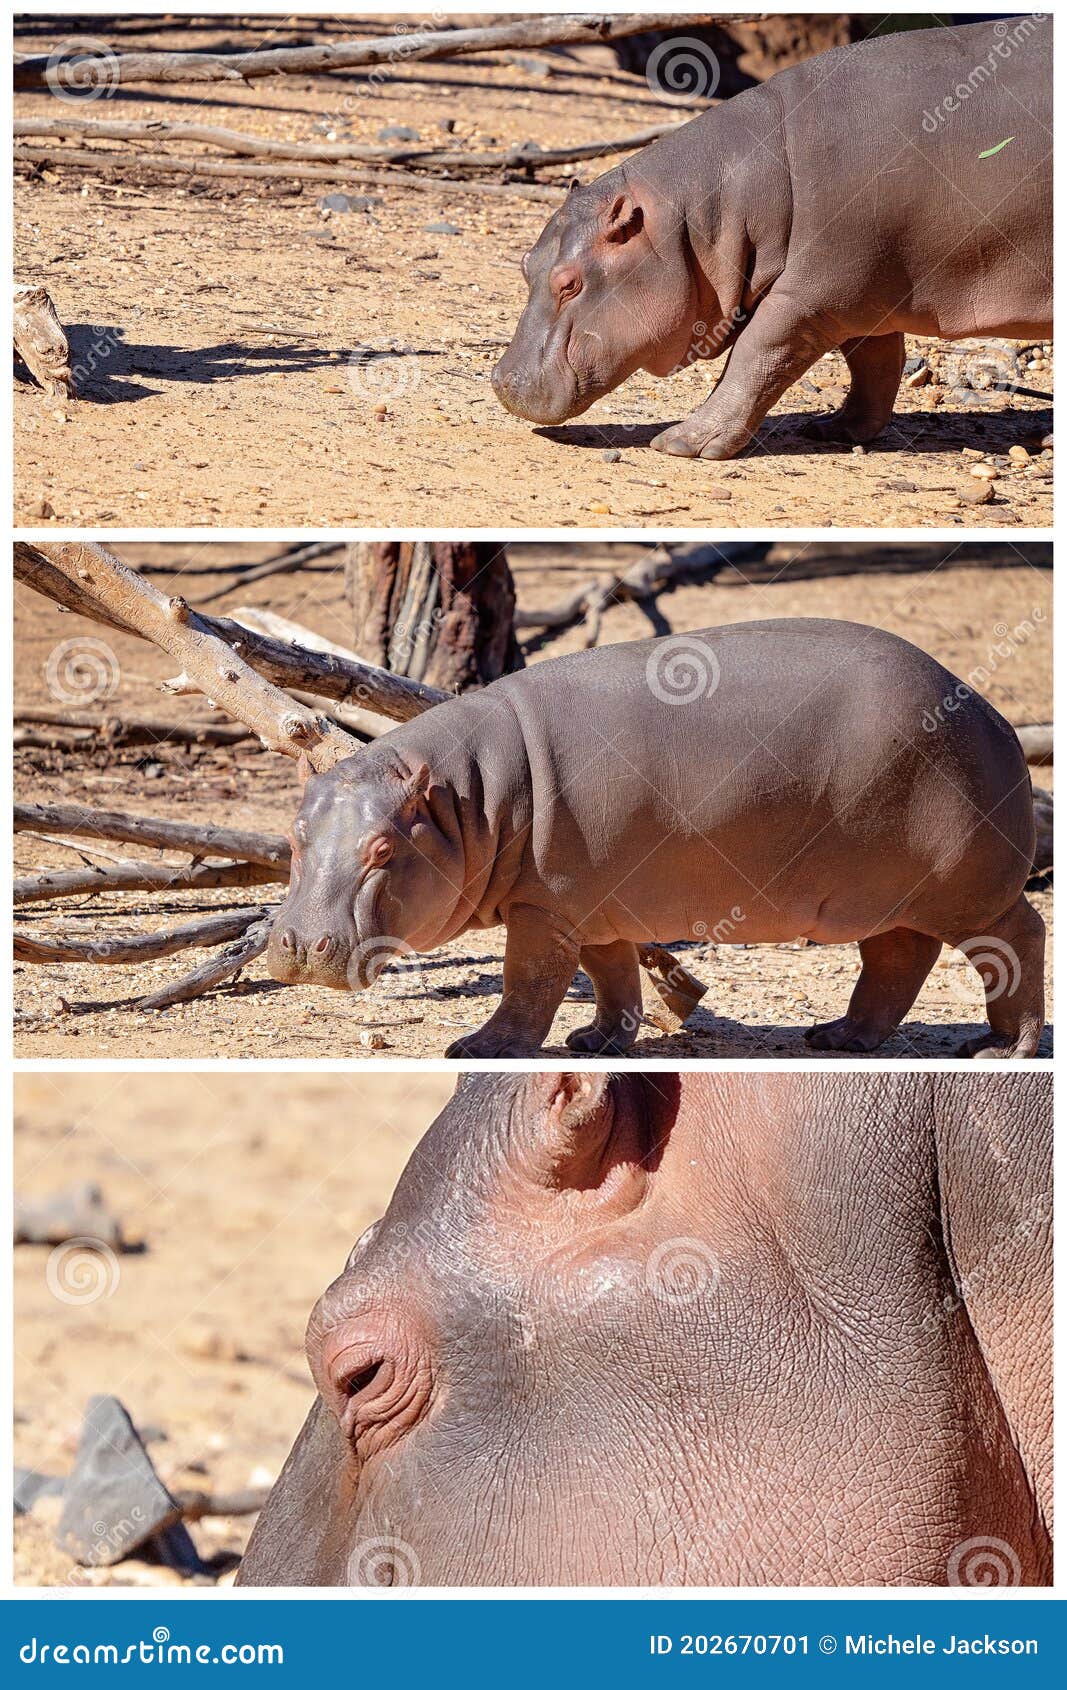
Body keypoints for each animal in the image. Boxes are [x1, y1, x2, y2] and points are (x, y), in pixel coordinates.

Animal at [265, 618, 1044, 1059]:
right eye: (294, 837)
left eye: (383, 851)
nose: (298, 944)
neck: (472, 798)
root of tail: (991, 713)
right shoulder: (593, 907)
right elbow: (610, 975)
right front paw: (596, 1041)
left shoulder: (544, 907)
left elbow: (529, 982)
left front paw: (479, 1049)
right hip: (881, 897)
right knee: (896, 958)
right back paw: (837, 1038)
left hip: (966, 889)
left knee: (1015, 940)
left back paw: (1001, 1051)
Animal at [492, 18, 1052, 459]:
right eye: (525, 264)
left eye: (570, 284)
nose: (502, 381)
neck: (702, 218)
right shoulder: (864, 290)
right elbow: (874, 360)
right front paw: (835, 429)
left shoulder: (812, 293)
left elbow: (756, 352)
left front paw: (681, 442)